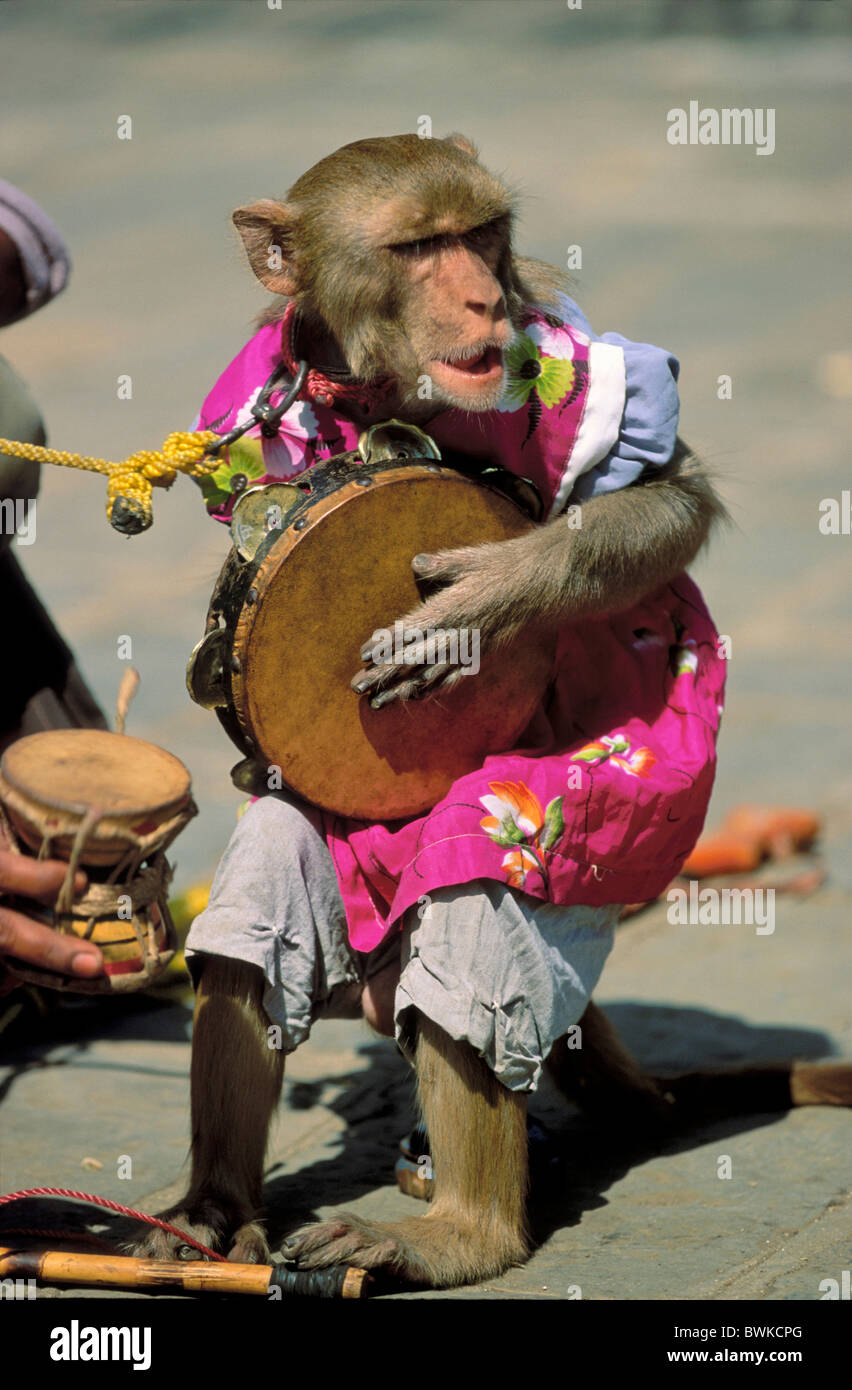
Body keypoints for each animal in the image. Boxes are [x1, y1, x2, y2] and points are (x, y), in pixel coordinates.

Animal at [128, 135, 852, 1288]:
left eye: (478, 237)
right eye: (417, 249)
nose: (475, 295)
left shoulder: (559, 352)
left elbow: (666, 496)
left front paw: (478, 609)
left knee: (477, 883)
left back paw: (463, 1234)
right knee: (266, 891)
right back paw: (214, 1211)